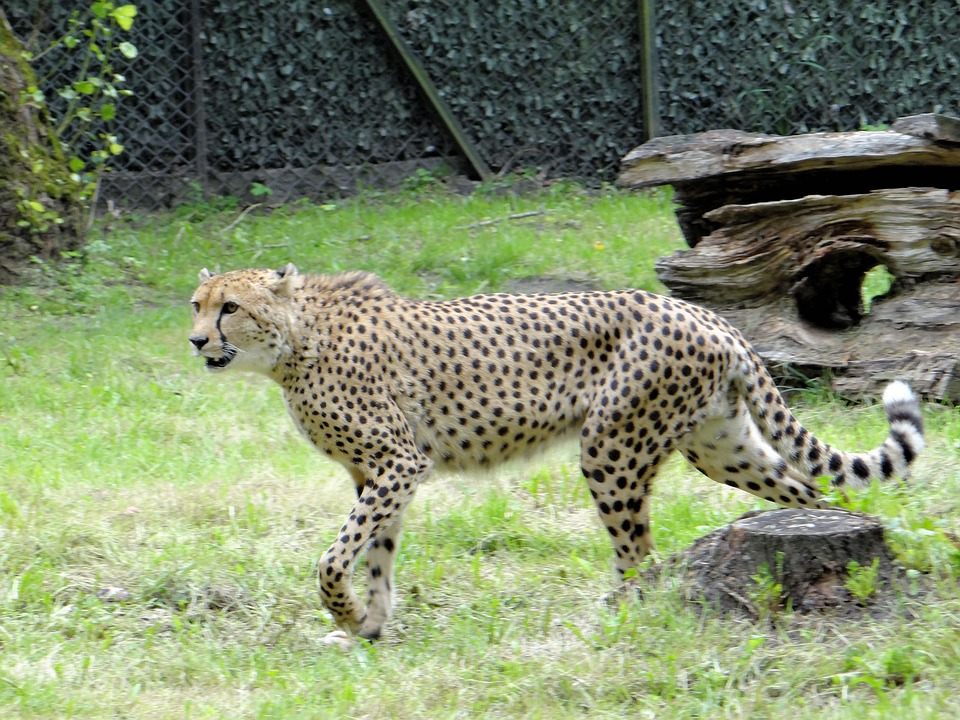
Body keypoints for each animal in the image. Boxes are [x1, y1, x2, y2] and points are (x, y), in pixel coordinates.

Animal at [189, 263, 924, 642]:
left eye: (230, 308)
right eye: (196, 304)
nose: (196, 341)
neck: (295, 341)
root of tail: (703, 313)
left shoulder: (398, 462)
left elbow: (336, 554)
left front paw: (344, 612)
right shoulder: (375, 471)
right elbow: (377, 550)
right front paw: (369, 623)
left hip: (612, 445)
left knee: (639, 554)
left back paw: (614, 620)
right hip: (719, 444)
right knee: (812, 489)